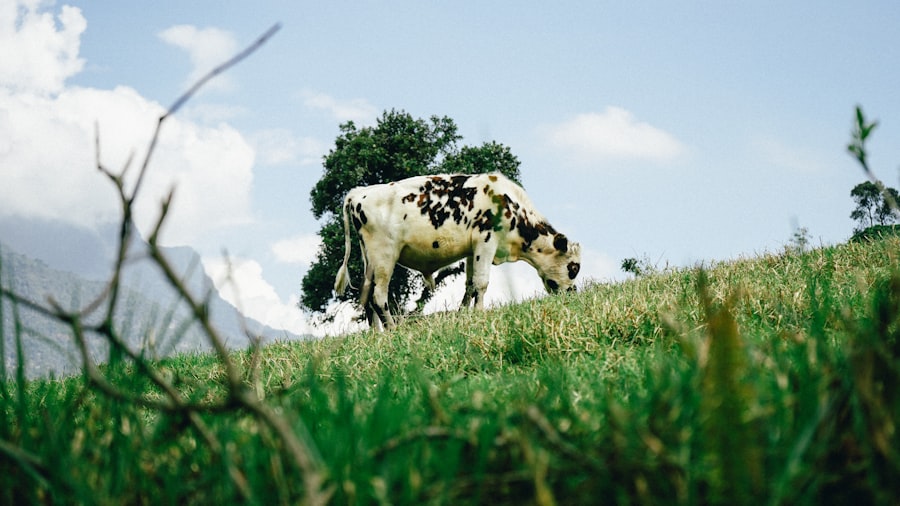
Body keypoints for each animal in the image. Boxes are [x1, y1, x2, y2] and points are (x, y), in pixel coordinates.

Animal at [334, 172, 581, 329]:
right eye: (574, 268)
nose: (573, 294)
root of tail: (359, 192)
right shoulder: (486, 240)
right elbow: (481, 283)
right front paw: (480, 314)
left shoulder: (472, 250)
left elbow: (470, 285)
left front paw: (464, 314)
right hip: (385, 255)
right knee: (378, 295)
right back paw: (393, 329)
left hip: (370, 260)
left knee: (366, 295)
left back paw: (377, 334)